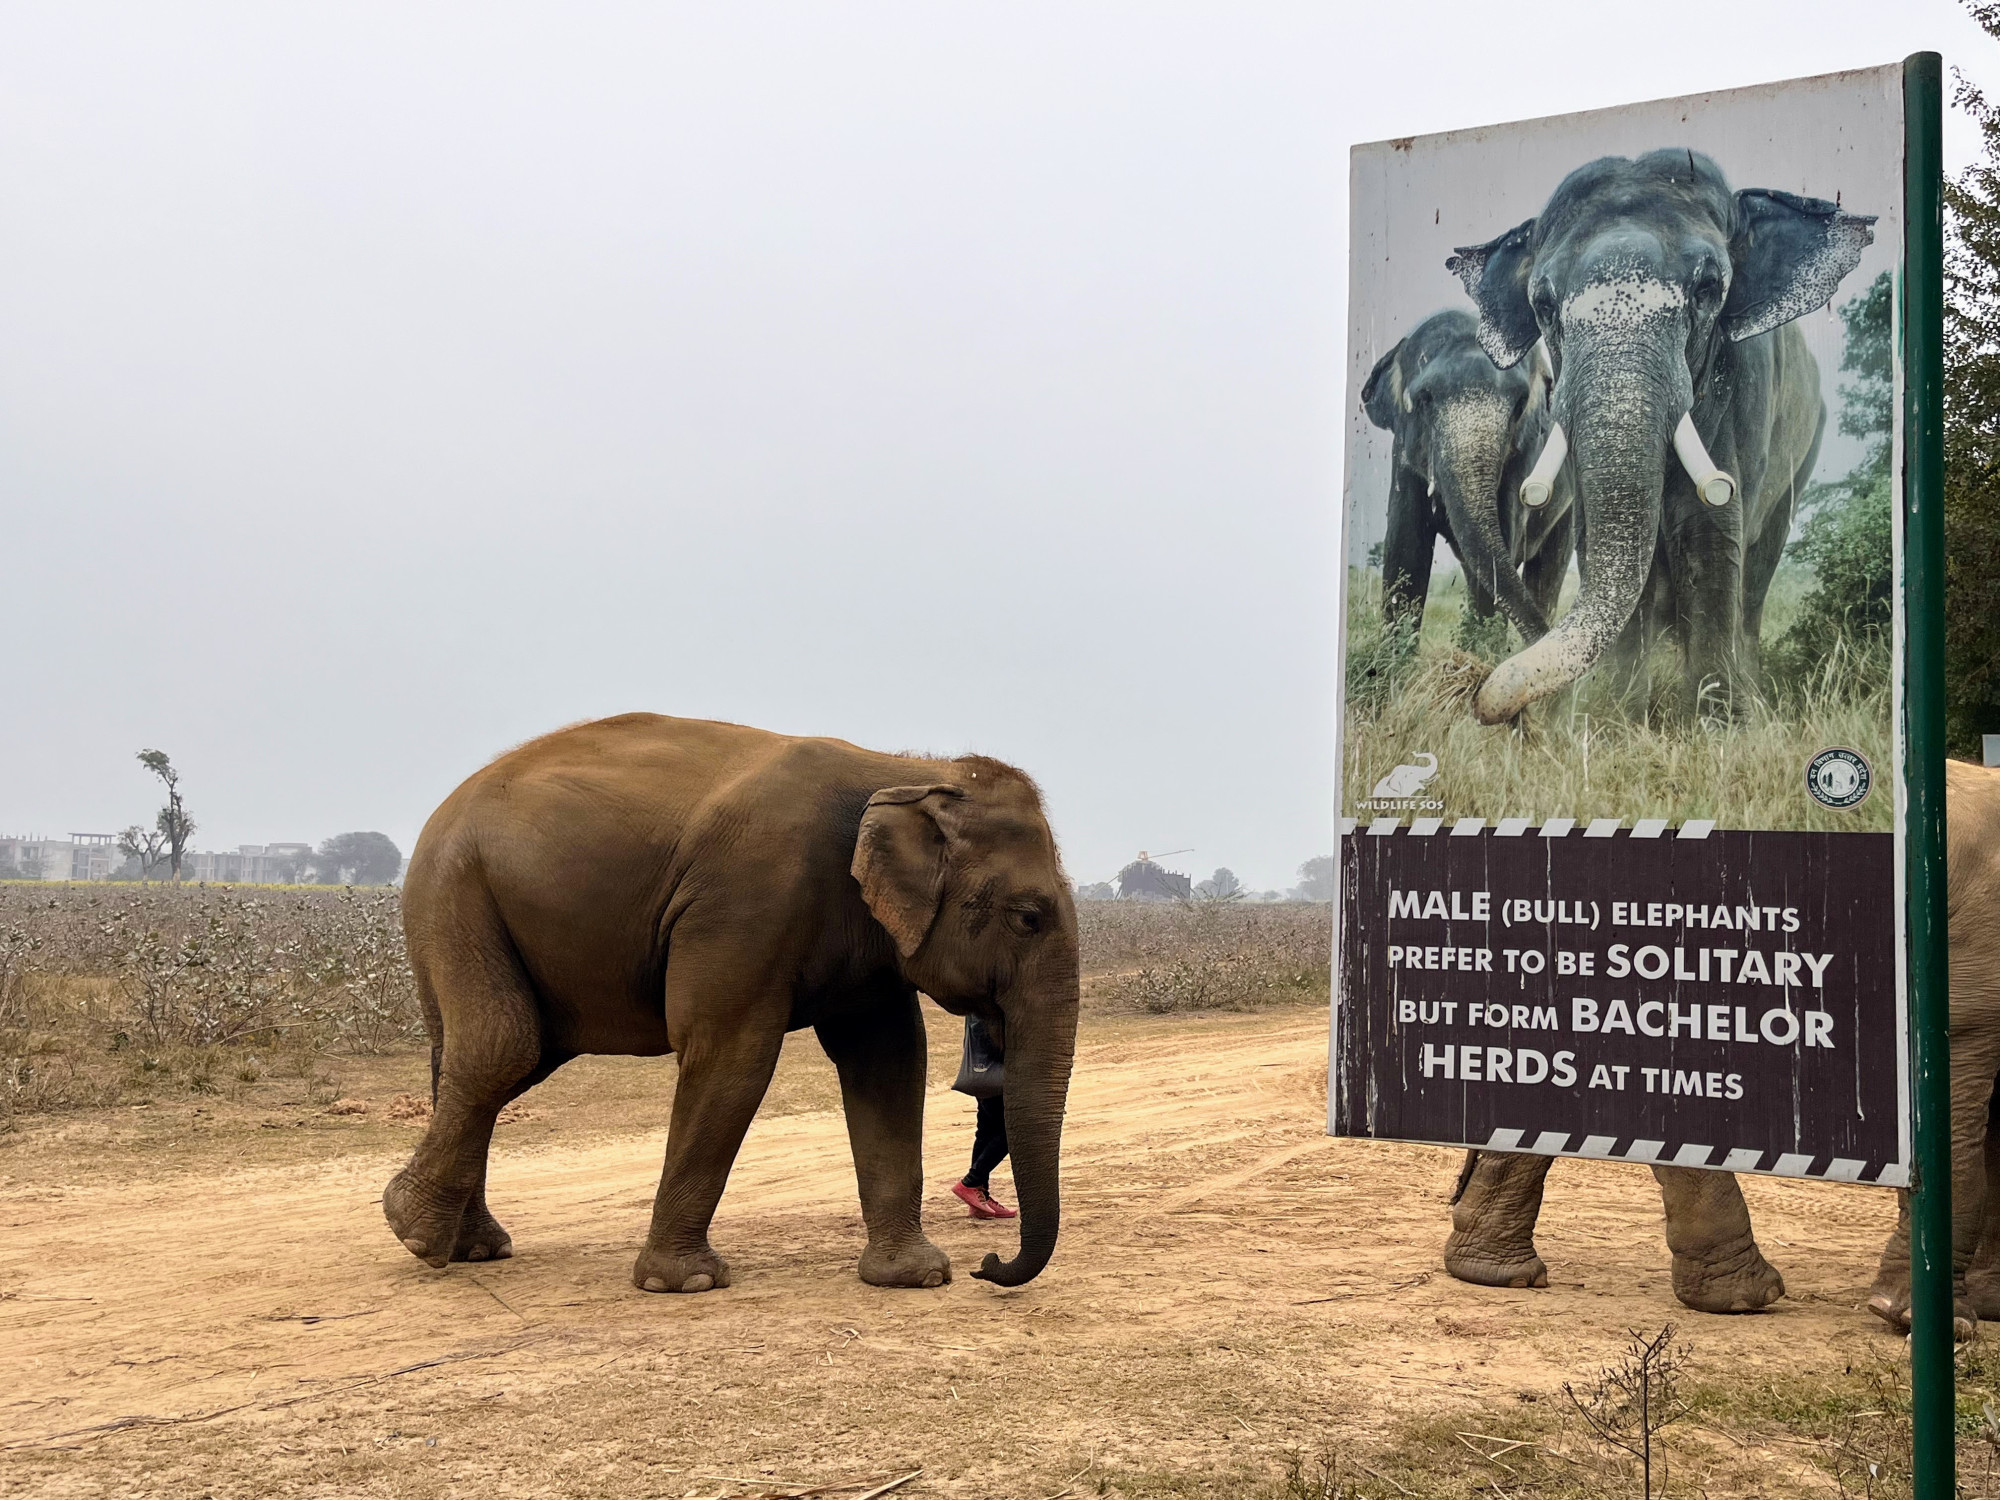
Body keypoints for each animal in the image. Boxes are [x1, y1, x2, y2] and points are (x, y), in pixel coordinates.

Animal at [382, 713, 1080, 1294]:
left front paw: (915, 1276)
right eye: (1027, 918)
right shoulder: (746, 901)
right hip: (454, 892)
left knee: (489, 1058)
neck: (904, 772)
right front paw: (684, 1283)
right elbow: (732, 1055)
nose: (986, 1264)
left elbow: (888, 1062)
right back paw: (413, 1230)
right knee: (503, 1046)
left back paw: (467, 1246)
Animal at [1361, 309, 1575, 644]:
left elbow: (1500, 545)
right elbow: (1406, 546)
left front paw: (1481, 653)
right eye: (1424, 398)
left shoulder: (1525, 454)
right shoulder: (1403, 453)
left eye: (1519, 404)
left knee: (1548, 568)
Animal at [1447, 150, 1874, 724]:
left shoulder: (1747, 387)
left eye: (1708, 288)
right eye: (1543, 305)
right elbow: (1601, 537)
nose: (1485, 699)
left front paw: (1723, 724)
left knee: (1759, 568)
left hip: (1804, 456)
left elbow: (1712, 529)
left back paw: (1751, 688)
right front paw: (1614, 719)